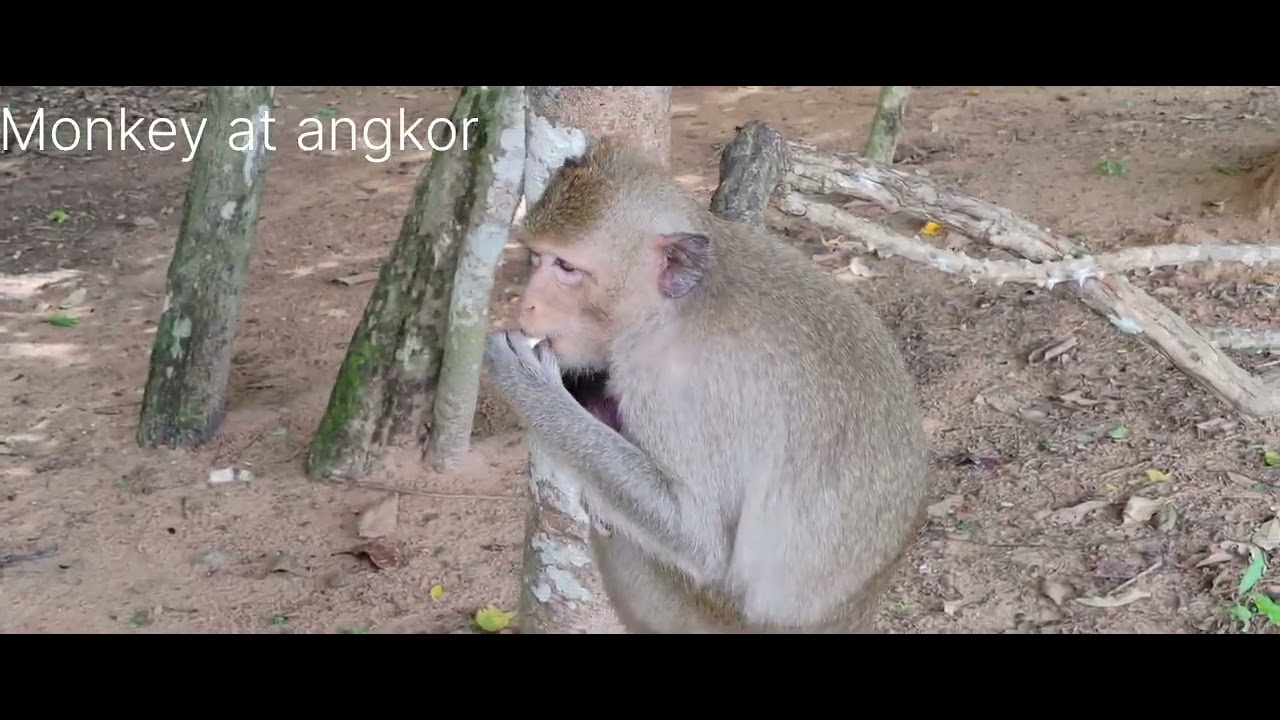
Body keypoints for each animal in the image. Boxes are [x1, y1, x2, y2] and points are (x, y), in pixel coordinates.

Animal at [483, 136, 930, 633]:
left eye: (565, 267)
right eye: (536, 258)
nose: (527, 304)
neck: (676, 307)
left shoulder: (673, 385)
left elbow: (701, 539)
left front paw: (527, 383)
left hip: (710, 615)